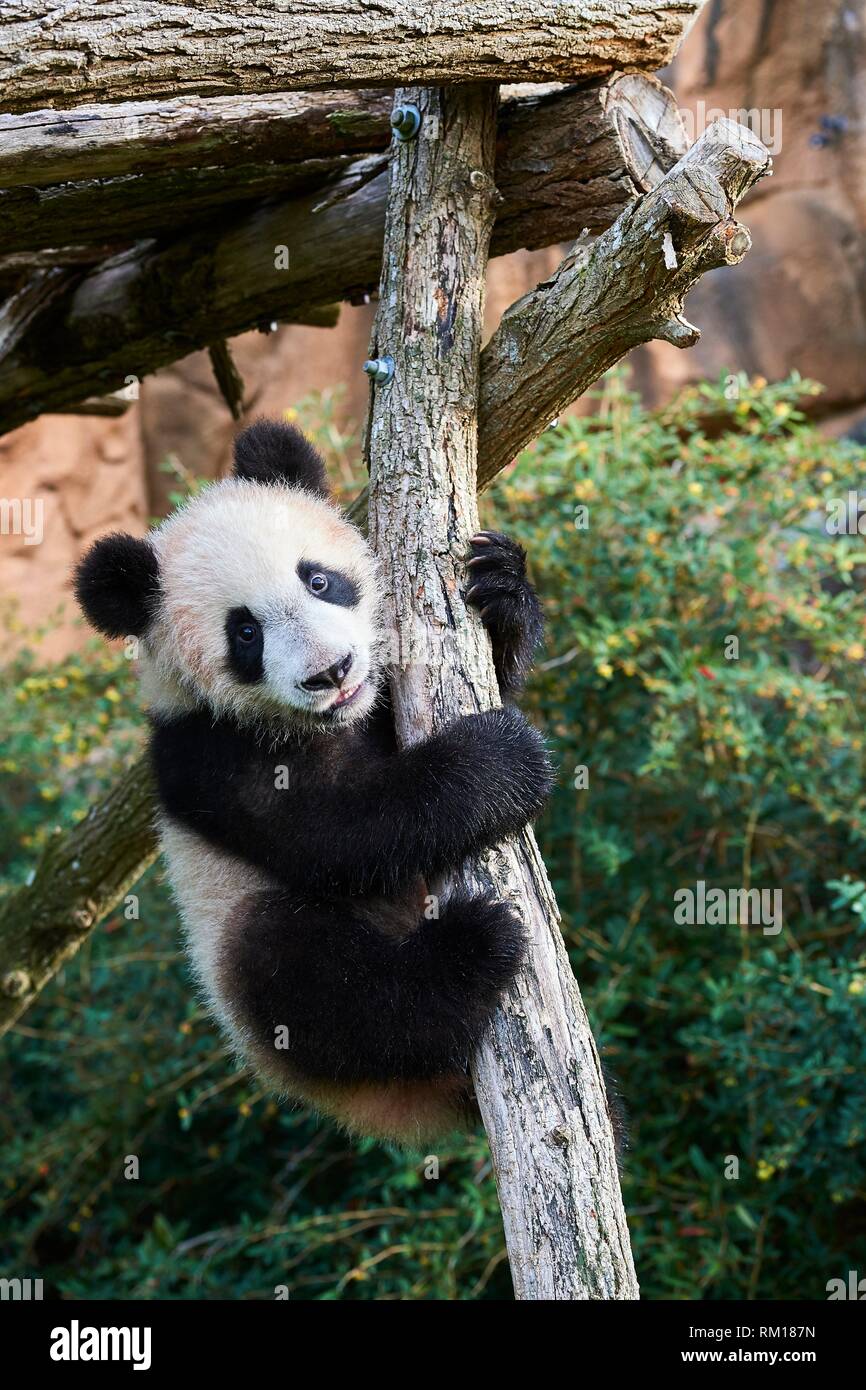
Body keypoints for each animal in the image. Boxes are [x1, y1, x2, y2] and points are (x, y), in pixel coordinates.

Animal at [74, 420, 552, 1147]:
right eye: (245, 632)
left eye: (319, 580)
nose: (332, 671)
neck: (330, 723)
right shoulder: (210, 753)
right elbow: (339, 834)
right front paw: (503, 759)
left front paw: (501, 588)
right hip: (245, 962)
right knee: (312, 983)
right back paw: (467, 951)